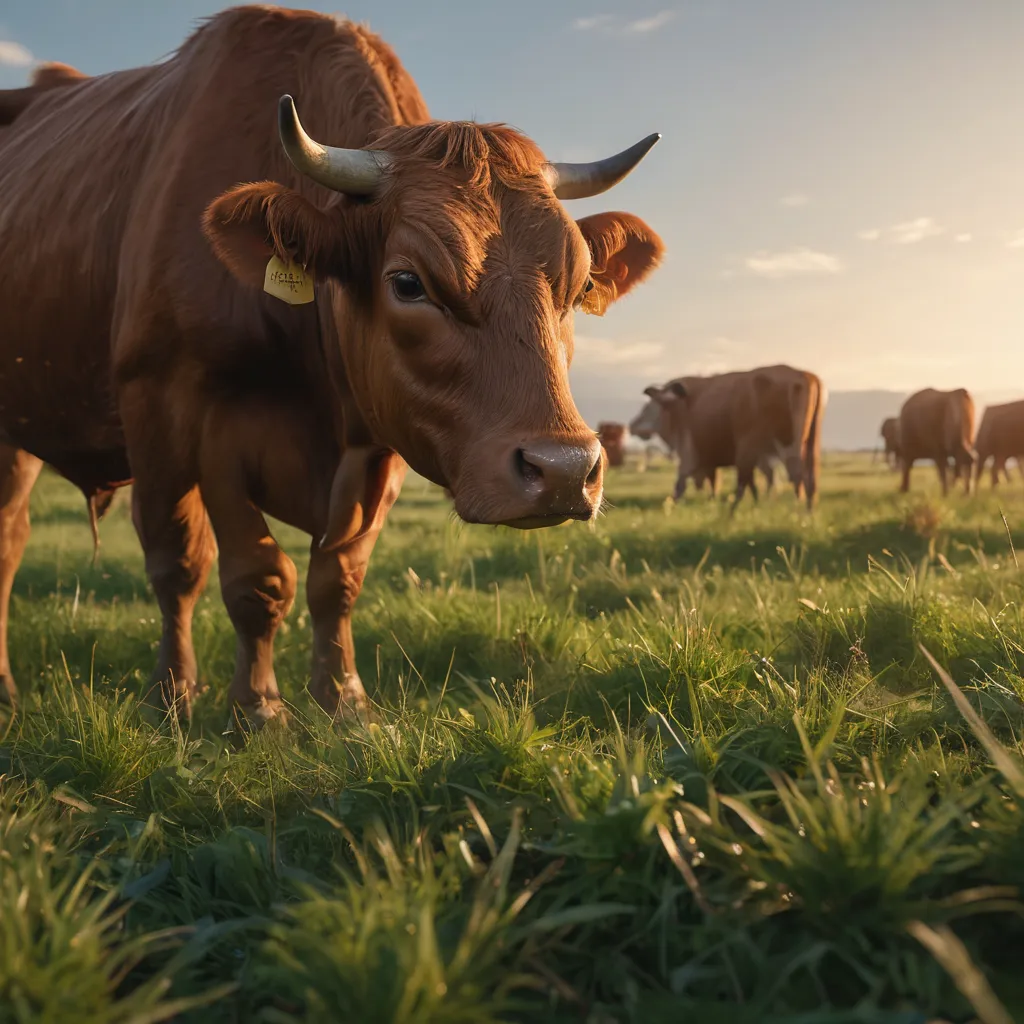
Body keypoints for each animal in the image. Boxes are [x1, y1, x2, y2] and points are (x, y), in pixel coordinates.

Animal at [0, 6, 664, 726]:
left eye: (579, 284)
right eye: (408, 282)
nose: (565, 470)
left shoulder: (381, 442)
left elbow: (336, 578)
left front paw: (343, 702)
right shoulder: (180, 415)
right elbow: (224, 570)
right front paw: (224, 705)